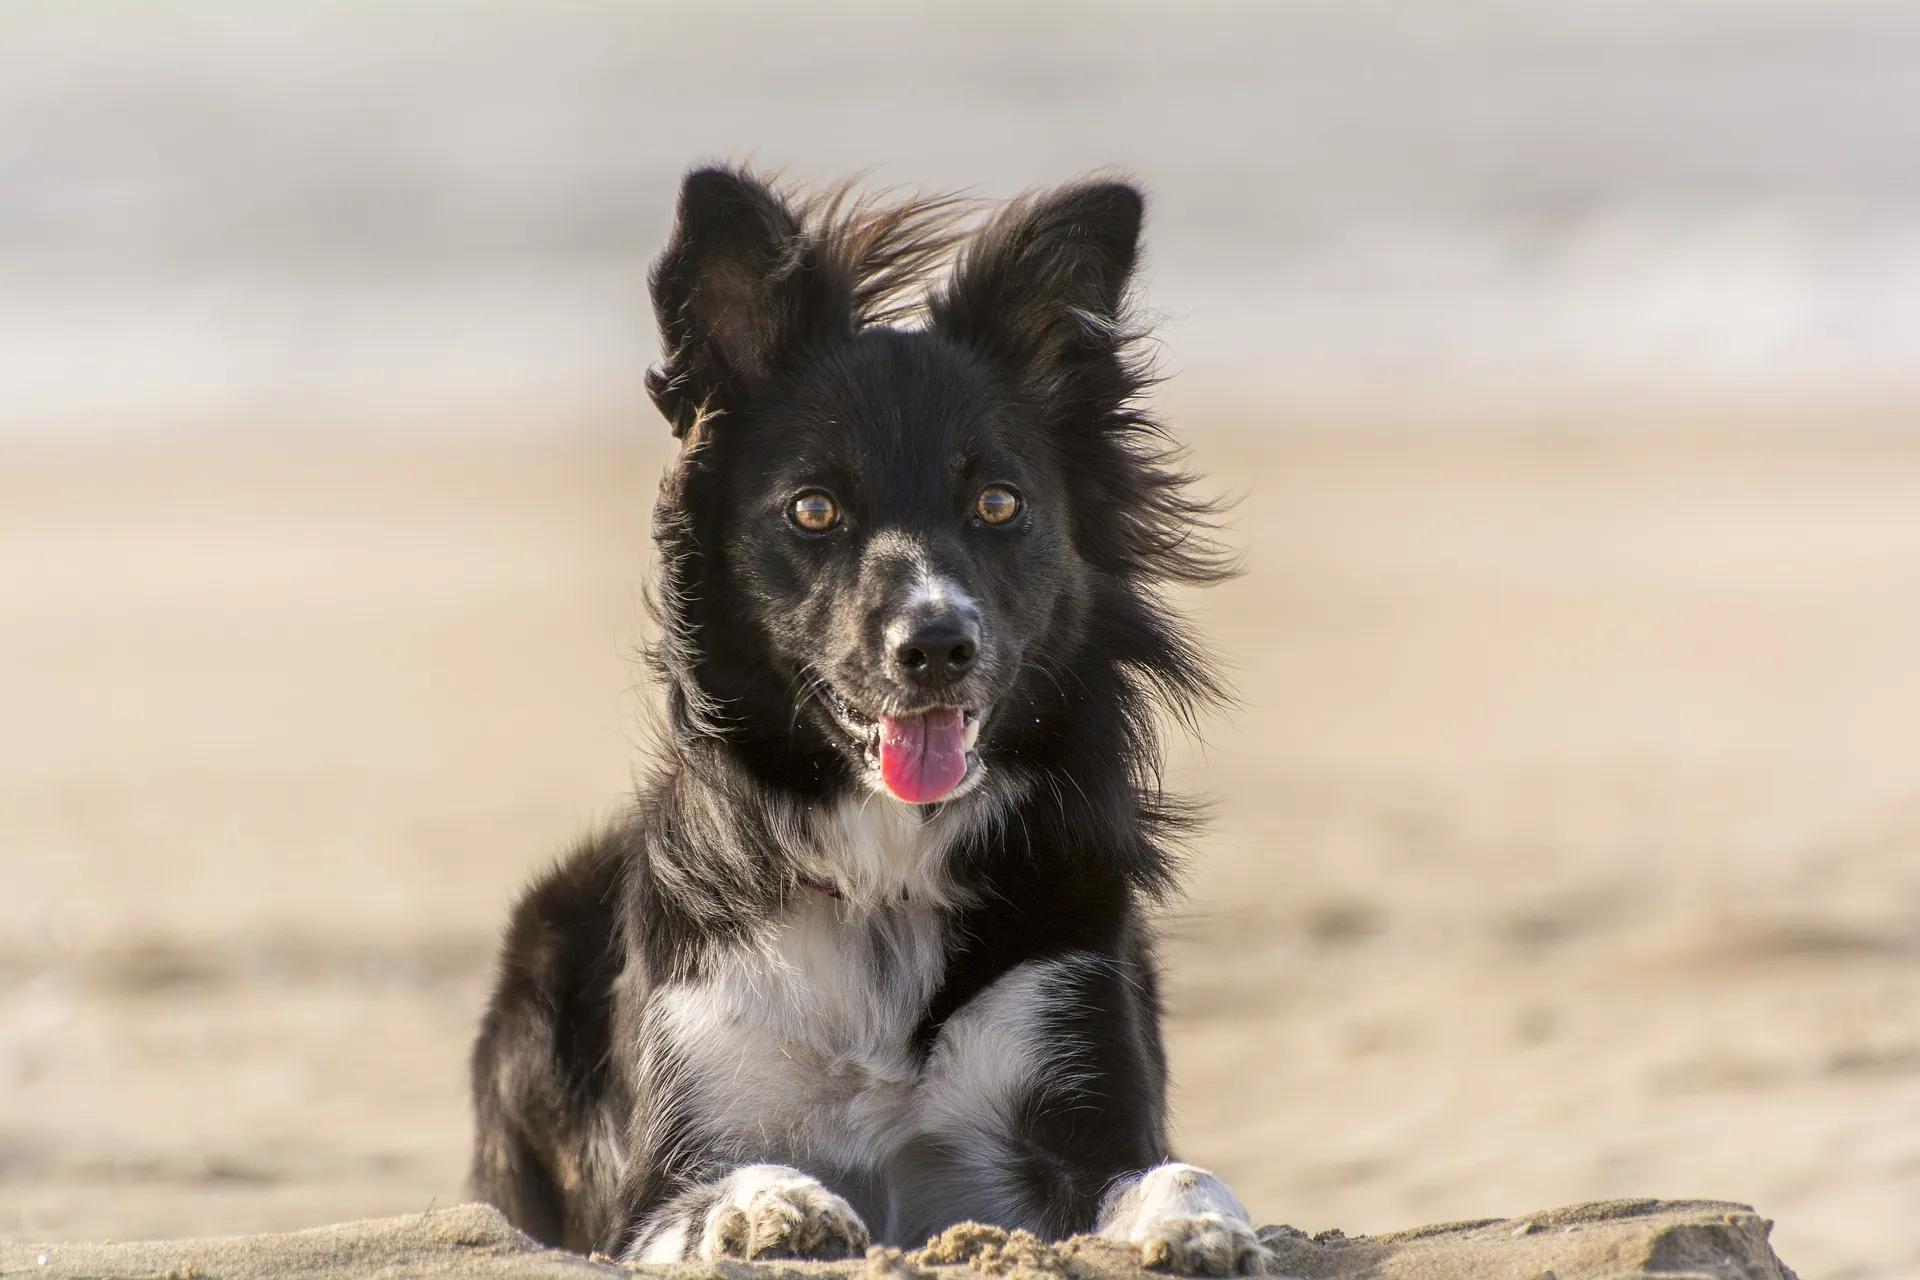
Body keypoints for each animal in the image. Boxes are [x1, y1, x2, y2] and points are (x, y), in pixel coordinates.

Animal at [472, 167, 1267, 1274]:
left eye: (997, 503)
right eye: (813, 509)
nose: (935, 645)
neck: (884, 877)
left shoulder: (1076, 1087)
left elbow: (1169, 1168)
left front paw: (1198, 1221)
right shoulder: (653, 1176)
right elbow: (709, 1190)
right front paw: (768, 1209)